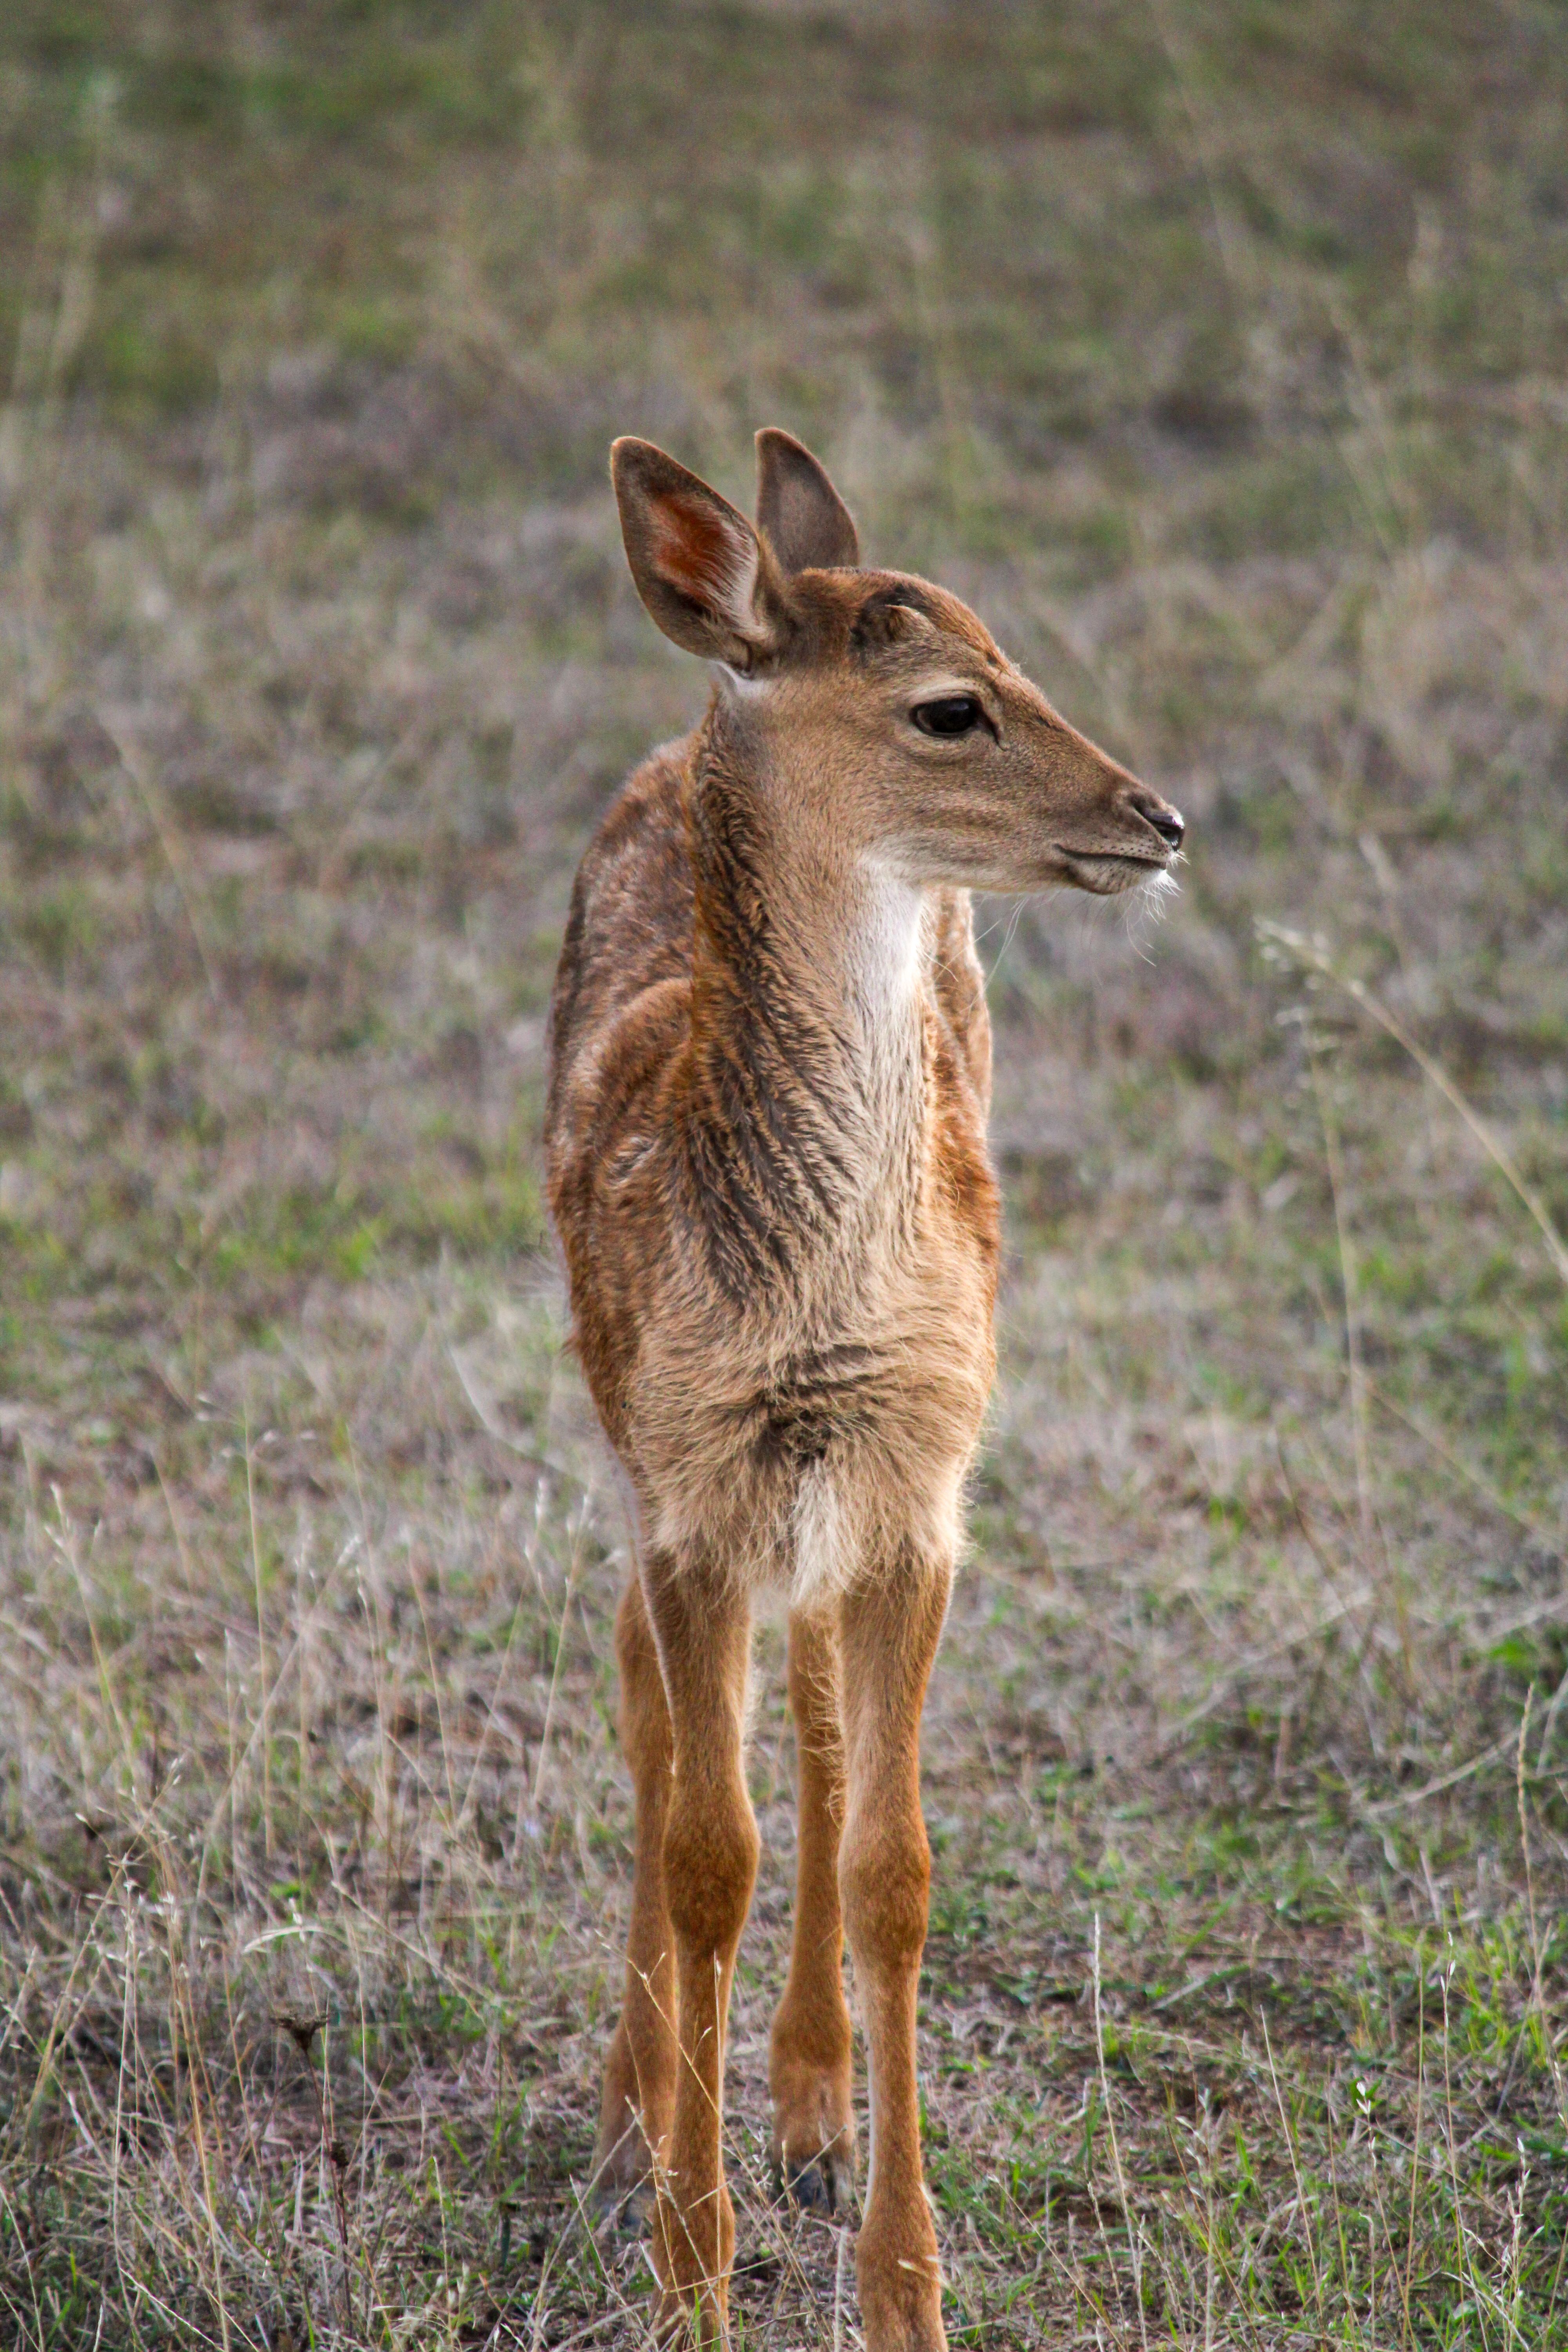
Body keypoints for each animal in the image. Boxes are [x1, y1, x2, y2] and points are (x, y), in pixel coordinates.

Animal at [545, 428, 1185, 2351]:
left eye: (1012, 650)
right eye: (947, 707)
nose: (1157, 818)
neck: (802, 1296)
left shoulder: (921, 1486)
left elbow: (891, 1862)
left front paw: (901, 2279)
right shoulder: (686, 1476)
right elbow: (706, 1848)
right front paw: (689, 2265)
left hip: (831, 1502)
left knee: (818, 1720)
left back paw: (812, 2109)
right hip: (629, 1439)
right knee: (647, 1708)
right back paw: (631, 2108)